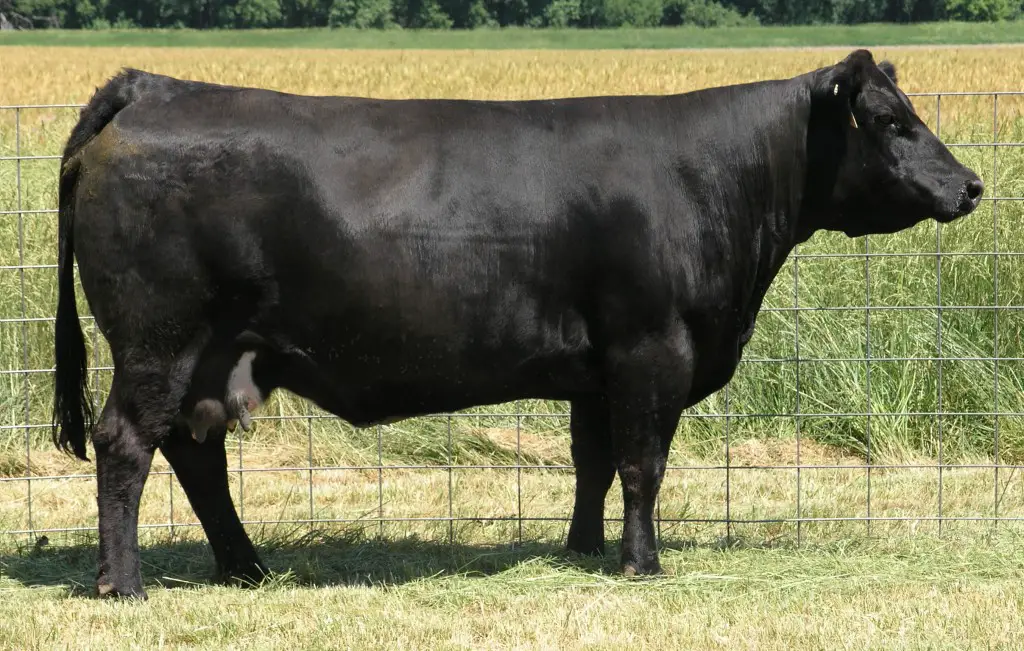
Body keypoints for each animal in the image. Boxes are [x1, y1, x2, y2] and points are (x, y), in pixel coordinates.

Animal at [52, 49, 983, 600]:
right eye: (892, 122)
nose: (971, 184)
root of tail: (149, 86)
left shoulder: (598, 366)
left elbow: (593, 462)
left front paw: (581, 548)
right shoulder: (652, 347)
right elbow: (643, 463)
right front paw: (642, 562)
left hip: (213, 353)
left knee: (194, 453)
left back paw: (246, 566)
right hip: (158, 339)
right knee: (128, 441)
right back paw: (124, 584)